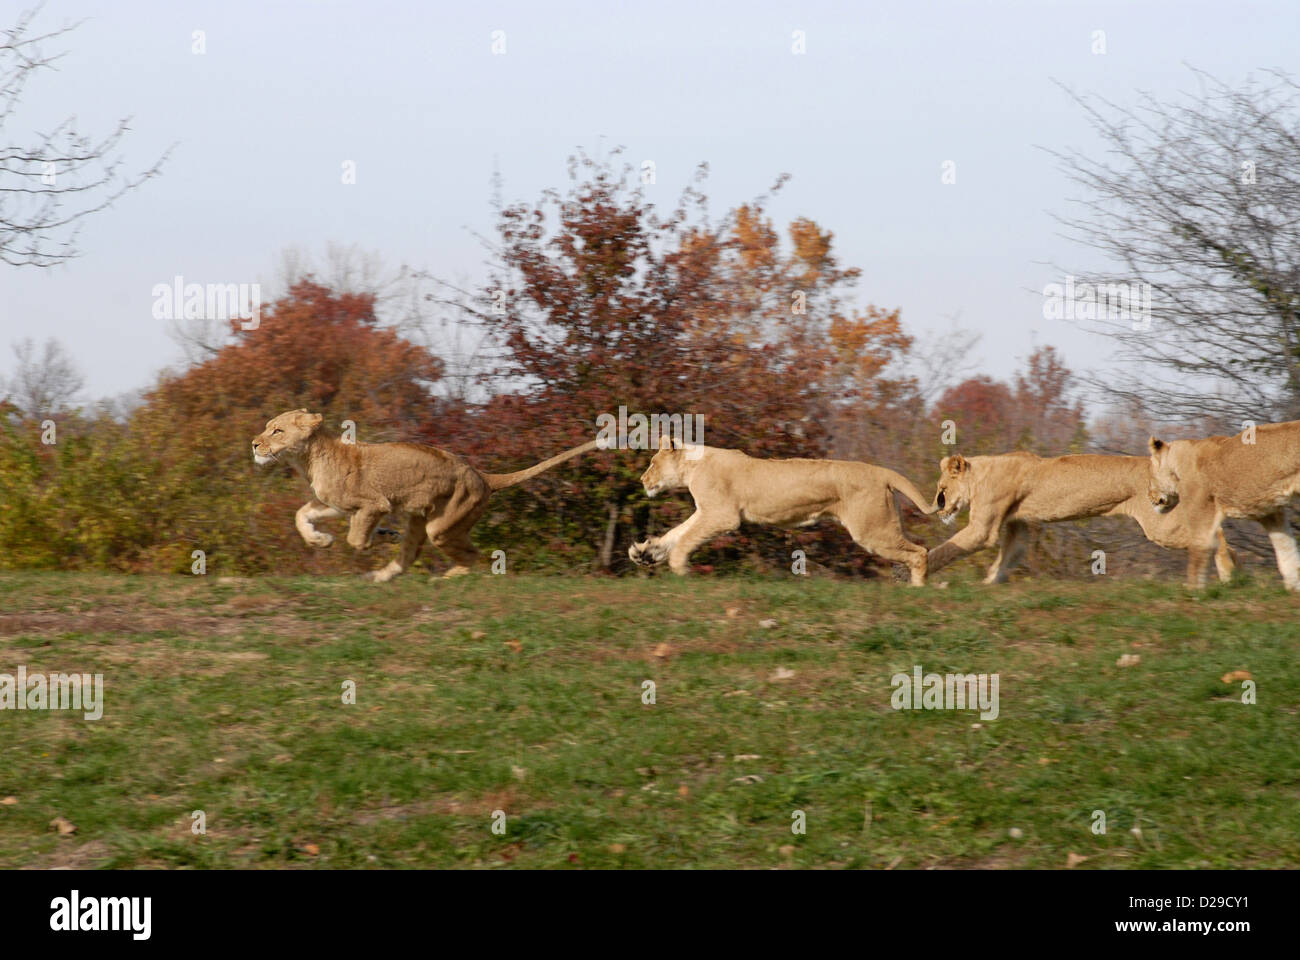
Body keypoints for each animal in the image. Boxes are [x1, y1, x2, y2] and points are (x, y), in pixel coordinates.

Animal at [251, 409, 598, 582]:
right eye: (266, 427)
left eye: (277, 431)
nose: (254, 444)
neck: (308, 460)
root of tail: (482, 475)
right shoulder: (333, 504)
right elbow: (301, 514)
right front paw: (319, 540)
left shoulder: (373, 503)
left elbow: (357, 539)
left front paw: (379, 536)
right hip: (420, 521)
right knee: (408, 557)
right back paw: (380, 577)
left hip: (441, 526)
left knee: (472, 555)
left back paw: (448, 578)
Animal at [627, 438, 937, 584]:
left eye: (652, 463)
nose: (642, 479)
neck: (692, 466)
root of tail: (881, 471)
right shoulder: (705, 511)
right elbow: (676, 533)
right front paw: (644, 553)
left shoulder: (722, 515)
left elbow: (686, 539)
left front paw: (679, 567)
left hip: (872, 531)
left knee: (919, 552)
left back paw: (917, 590)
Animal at [929, 451, 1236, 586]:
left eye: (942, 490)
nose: (939, 510)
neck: (979, 472)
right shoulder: (1019, 524)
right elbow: (1008, 556)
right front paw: (991, 582)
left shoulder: (984, 528)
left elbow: (946, 550)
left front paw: (919, 573)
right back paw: (1230, 572)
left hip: (1161, 524)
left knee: (1211, 534)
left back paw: (1228, 570)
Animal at [1148, 420, 1300, 590]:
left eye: (1149, 474)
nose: (1149, 496)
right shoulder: (1269, 512)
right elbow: (1286, 548)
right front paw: (1293, 589)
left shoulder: (1201, 514)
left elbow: (1197, 557)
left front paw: (1192, 592)